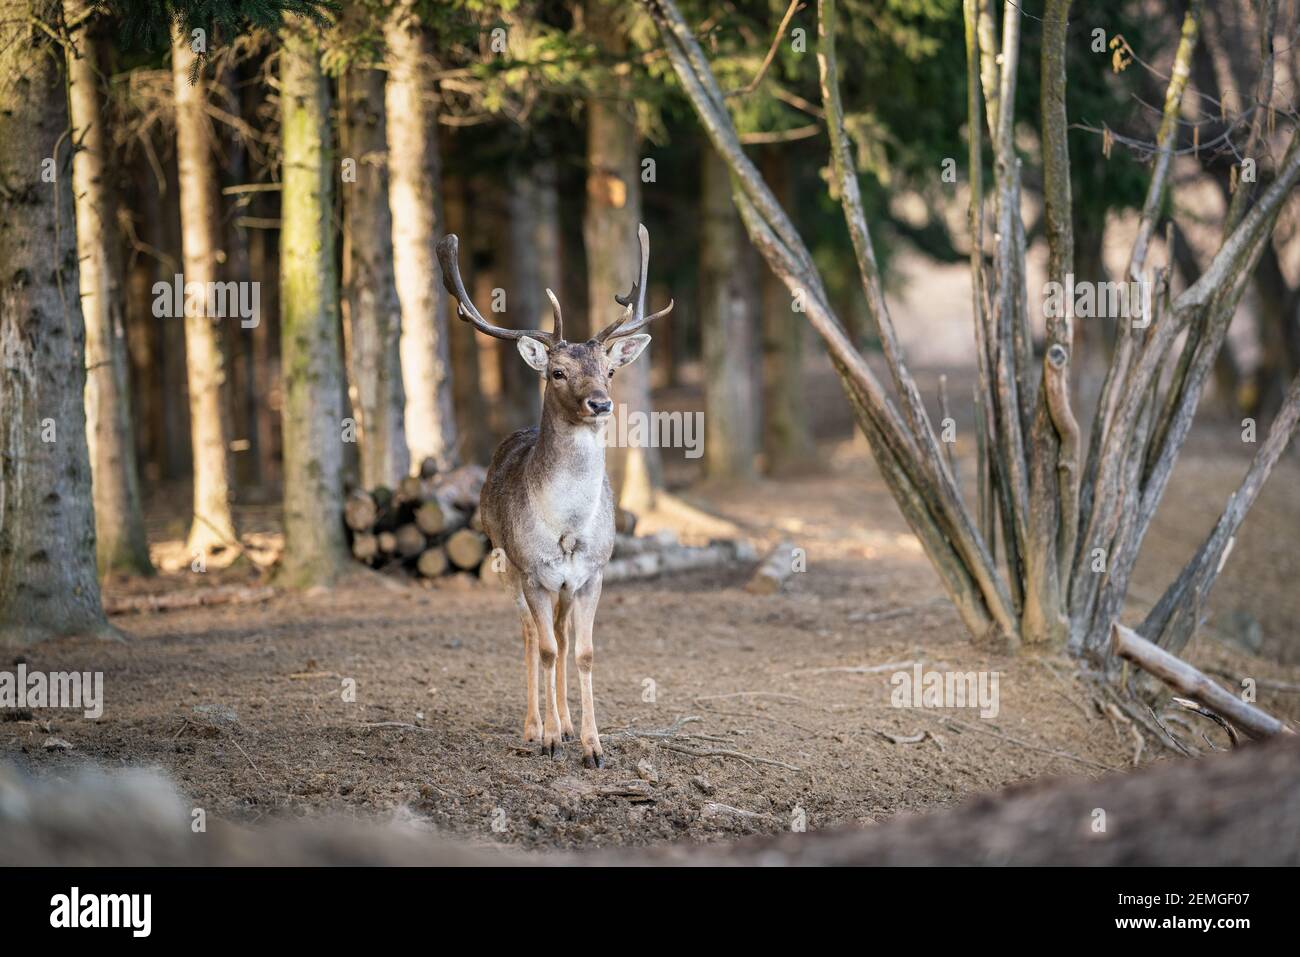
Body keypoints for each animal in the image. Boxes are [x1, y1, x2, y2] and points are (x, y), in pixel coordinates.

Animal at [435, 224, 673, 769]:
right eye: (558, 372)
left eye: (610, 370)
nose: (600, 403)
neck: (567, 527)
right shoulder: (533, 573)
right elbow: (543, 649)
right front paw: (544, 739)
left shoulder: (593, 573)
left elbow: (581, 652)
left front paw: (591, 746)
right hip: (504, 562)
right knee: (530, 636)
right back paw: (534, 727)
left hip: (564, 585)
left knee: (562, 640)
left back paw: (563, 726)